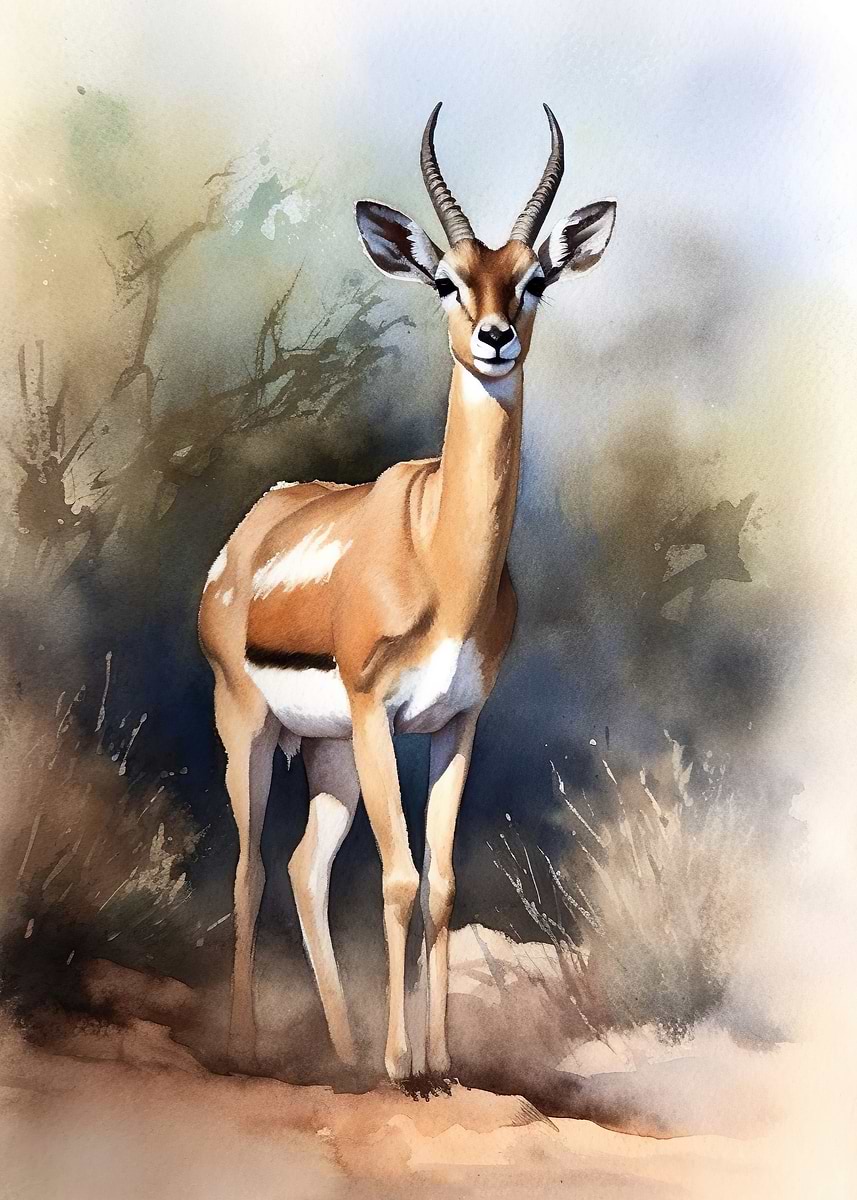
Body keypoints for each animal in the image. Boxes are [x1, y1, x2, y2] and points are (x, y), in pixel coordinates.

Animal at [198, 103, 616, 1082]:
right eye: (444, 281)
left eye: (533, 279)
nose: (495, 338)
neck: (441, 561)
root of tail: (251, 530)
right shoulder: (375, 711)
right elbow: (396, 879)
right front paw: (402, 1067)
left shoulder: (456, 724)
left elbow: (442, 885)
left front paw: (439, 1062)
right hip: (254, 727)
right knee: (250, 867)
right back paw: (248, 1047)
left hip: (327, 754)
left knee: (305, 868)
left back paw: (343, 1049)